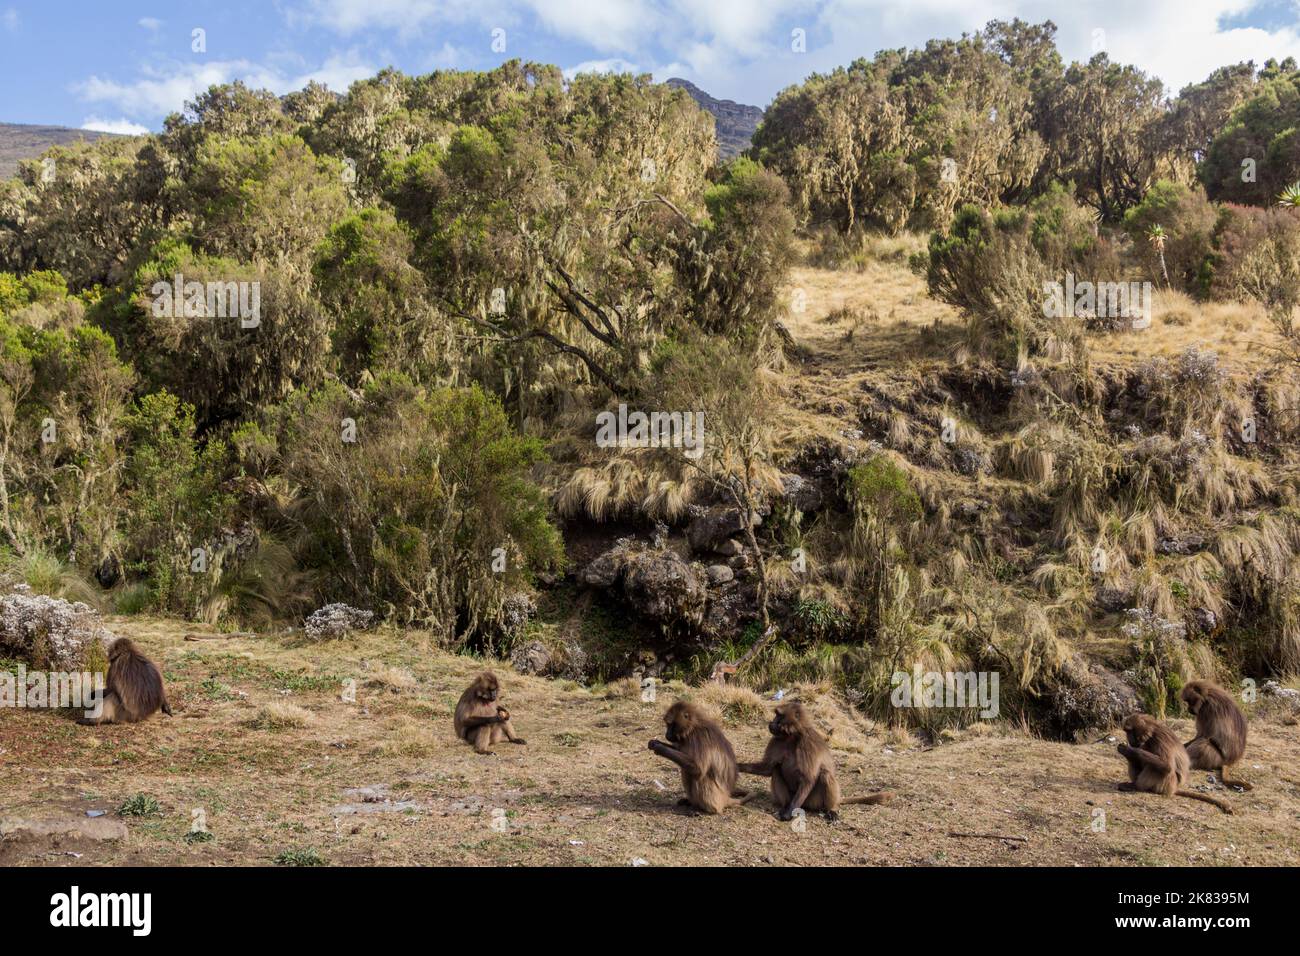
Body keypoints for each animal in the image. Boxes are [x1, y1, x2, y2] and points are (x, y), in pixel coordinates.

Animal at [737, 702, 893, 821]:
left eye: (779, 715)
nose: (771, 723)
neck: (791, 737)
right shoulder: (775, 741)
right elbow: (767, 768)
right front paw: (737, 766)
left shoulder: (807, 745)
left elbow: (808, 778)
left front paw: (788, 814)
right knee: (777, 769)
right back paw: (785, 805)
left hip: (811, 800)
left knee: (825, 774)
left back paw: (831, 809)